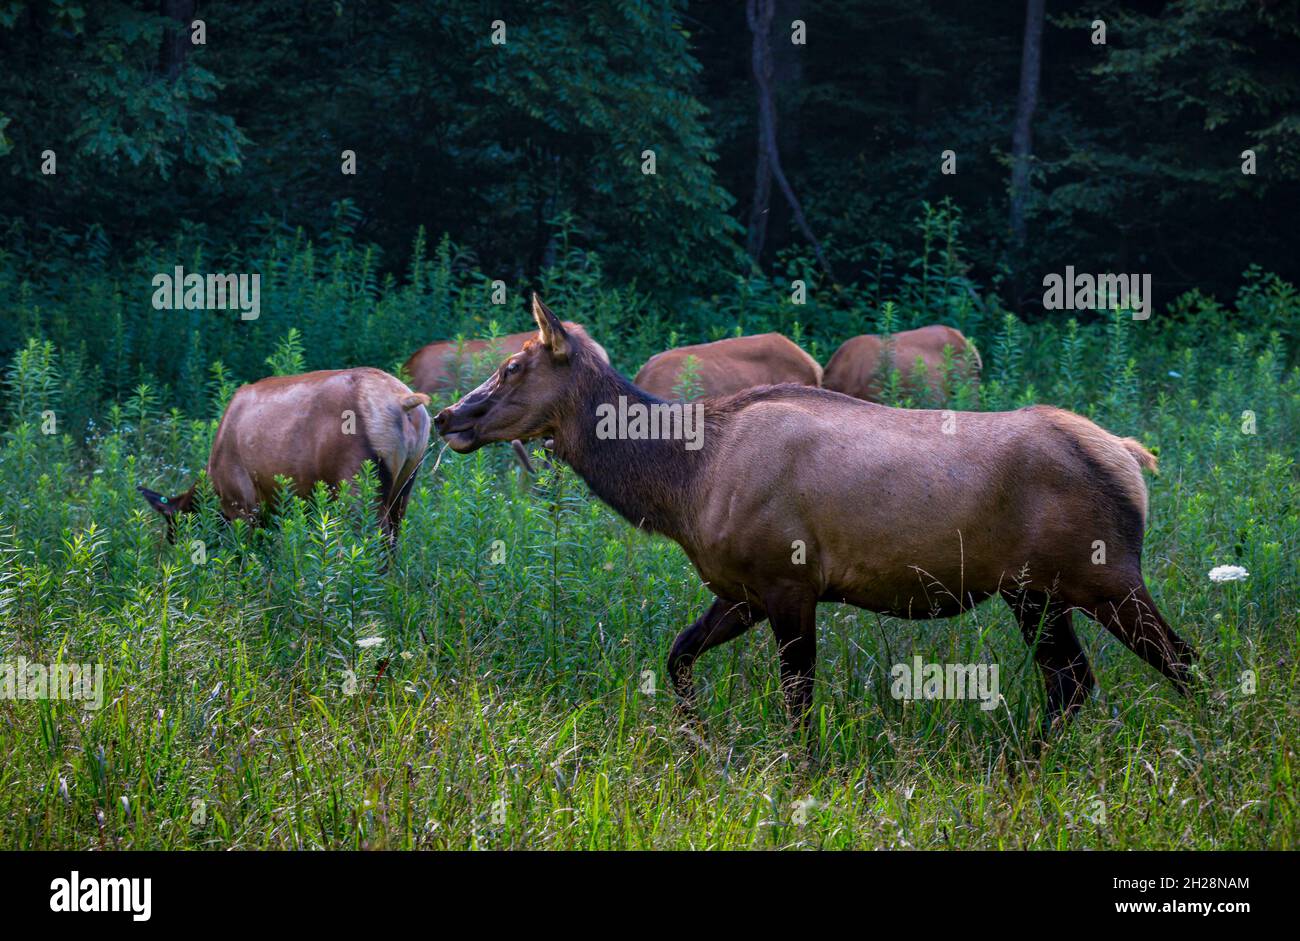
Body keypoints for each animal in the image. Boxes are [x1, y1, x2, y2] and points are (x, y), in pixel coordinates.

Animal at [139, 367, 431, 550]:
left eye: (174, 530)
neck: (212, 480)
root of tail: (404, 401)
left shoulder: (241, 501)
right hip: (406, 482)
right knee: (394, 537)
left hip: (358, 480)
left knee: (376, 539)